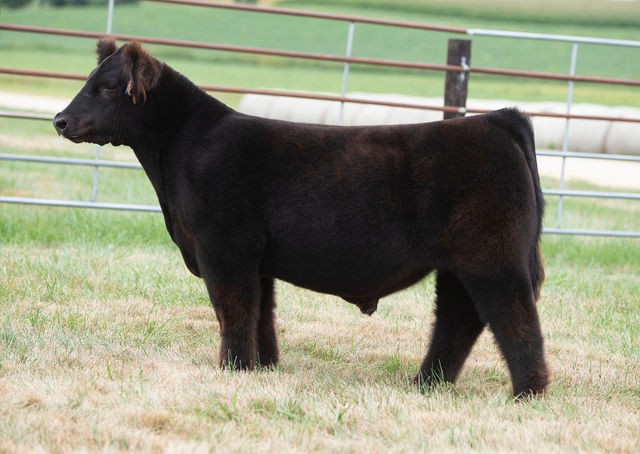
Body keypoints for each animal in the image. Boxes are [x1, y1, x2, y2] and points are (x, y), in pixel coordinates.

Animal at [53, 38, 549, 398]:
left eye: (109, 86)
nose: (59, 120)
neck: (184, 148)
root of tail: (494, 120)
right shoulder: (256, 260)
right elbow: (261, 312)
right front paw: (262, 368)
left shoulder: (224, 246)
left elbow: (232, 308)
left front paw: (233, 368)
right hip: (457, 266)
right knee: (458, 318)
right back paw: (427, 384)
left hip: (492, 258)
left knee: (512, 315)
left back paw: (528, 392)